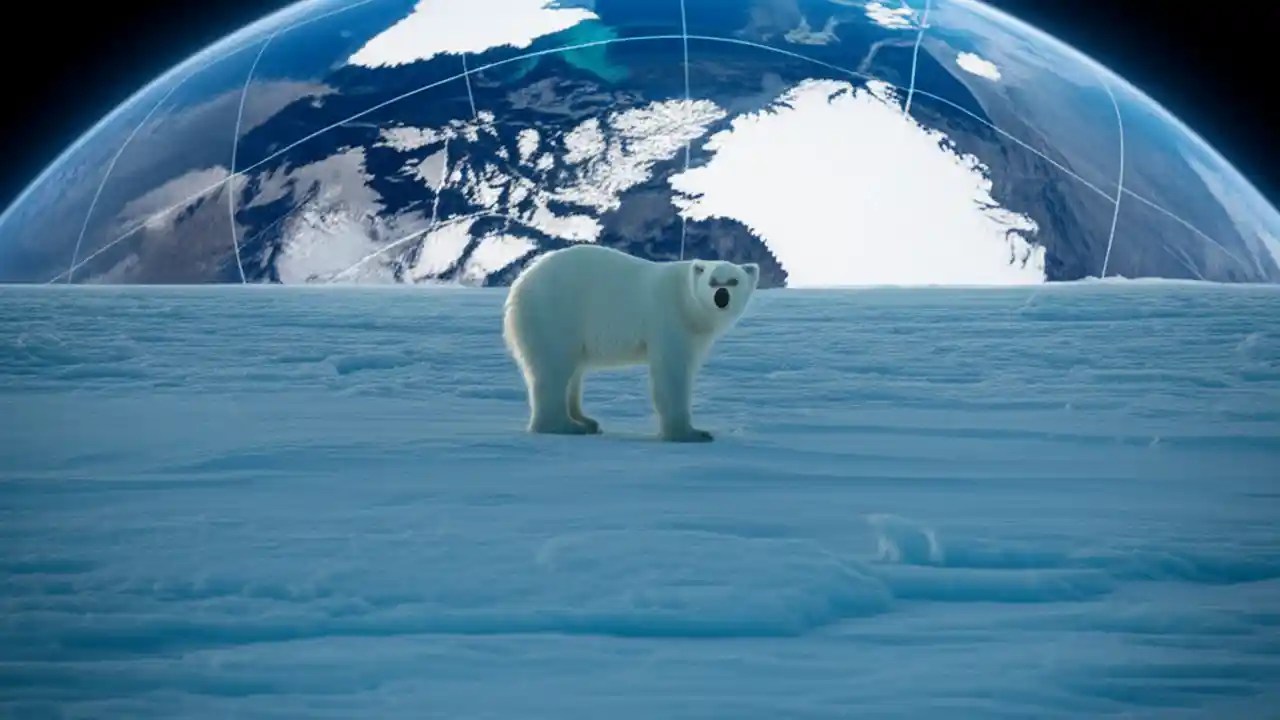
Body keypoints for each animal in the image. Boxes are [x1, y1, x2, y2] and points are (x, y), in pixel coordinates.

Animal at [502, 244, 759, 443]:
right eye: (712, 281)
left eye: (734, 280)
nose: (721, 296)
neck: (688, 305)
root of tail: (520, 282)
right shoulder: (669, 319)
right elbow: (672, 373)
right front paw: (691, 434)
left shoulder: (694, 333)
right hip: (555, 314)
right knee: (553, 368)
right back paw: (565, 426)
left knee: (573, 372)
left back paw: (586, 421)